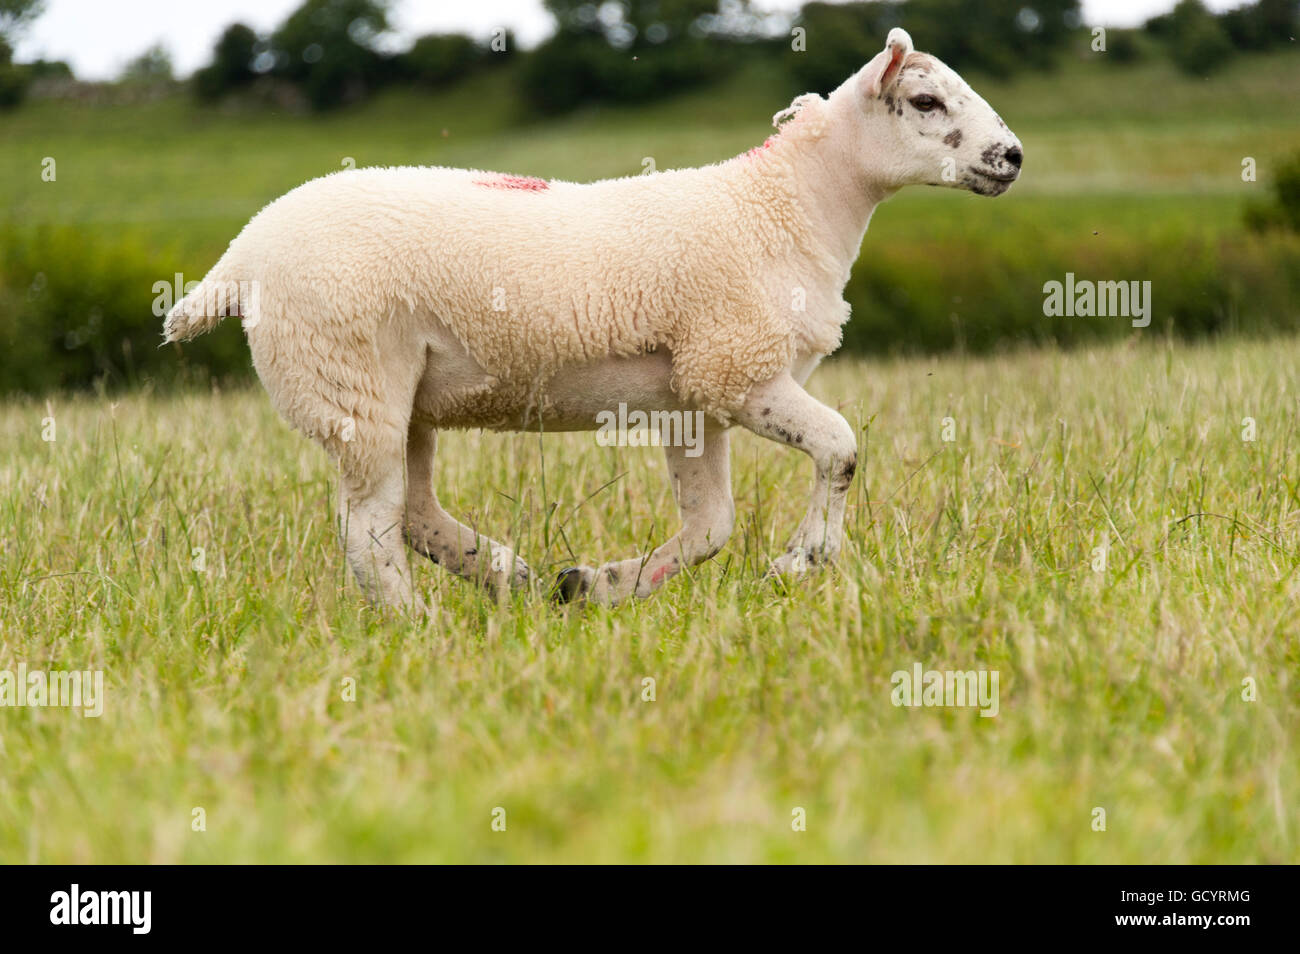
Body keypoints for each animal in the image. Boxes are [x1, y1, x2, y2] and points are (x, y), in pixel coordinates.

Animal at [163, 28, 1022, 613]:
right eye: (926, 102)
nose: (1012, 157)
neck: (783, 205)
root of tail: (241, 256)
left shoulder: (697, 394)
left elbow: (710, 527)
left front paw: (600, 585)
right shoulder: (735, 366)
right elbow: (841, 449)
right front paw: (799, 563)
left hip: (398, 398)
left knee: (409, 510)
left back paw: (507, 574)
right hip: (349, 376)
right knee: (369, 531)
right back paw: (420, 624)